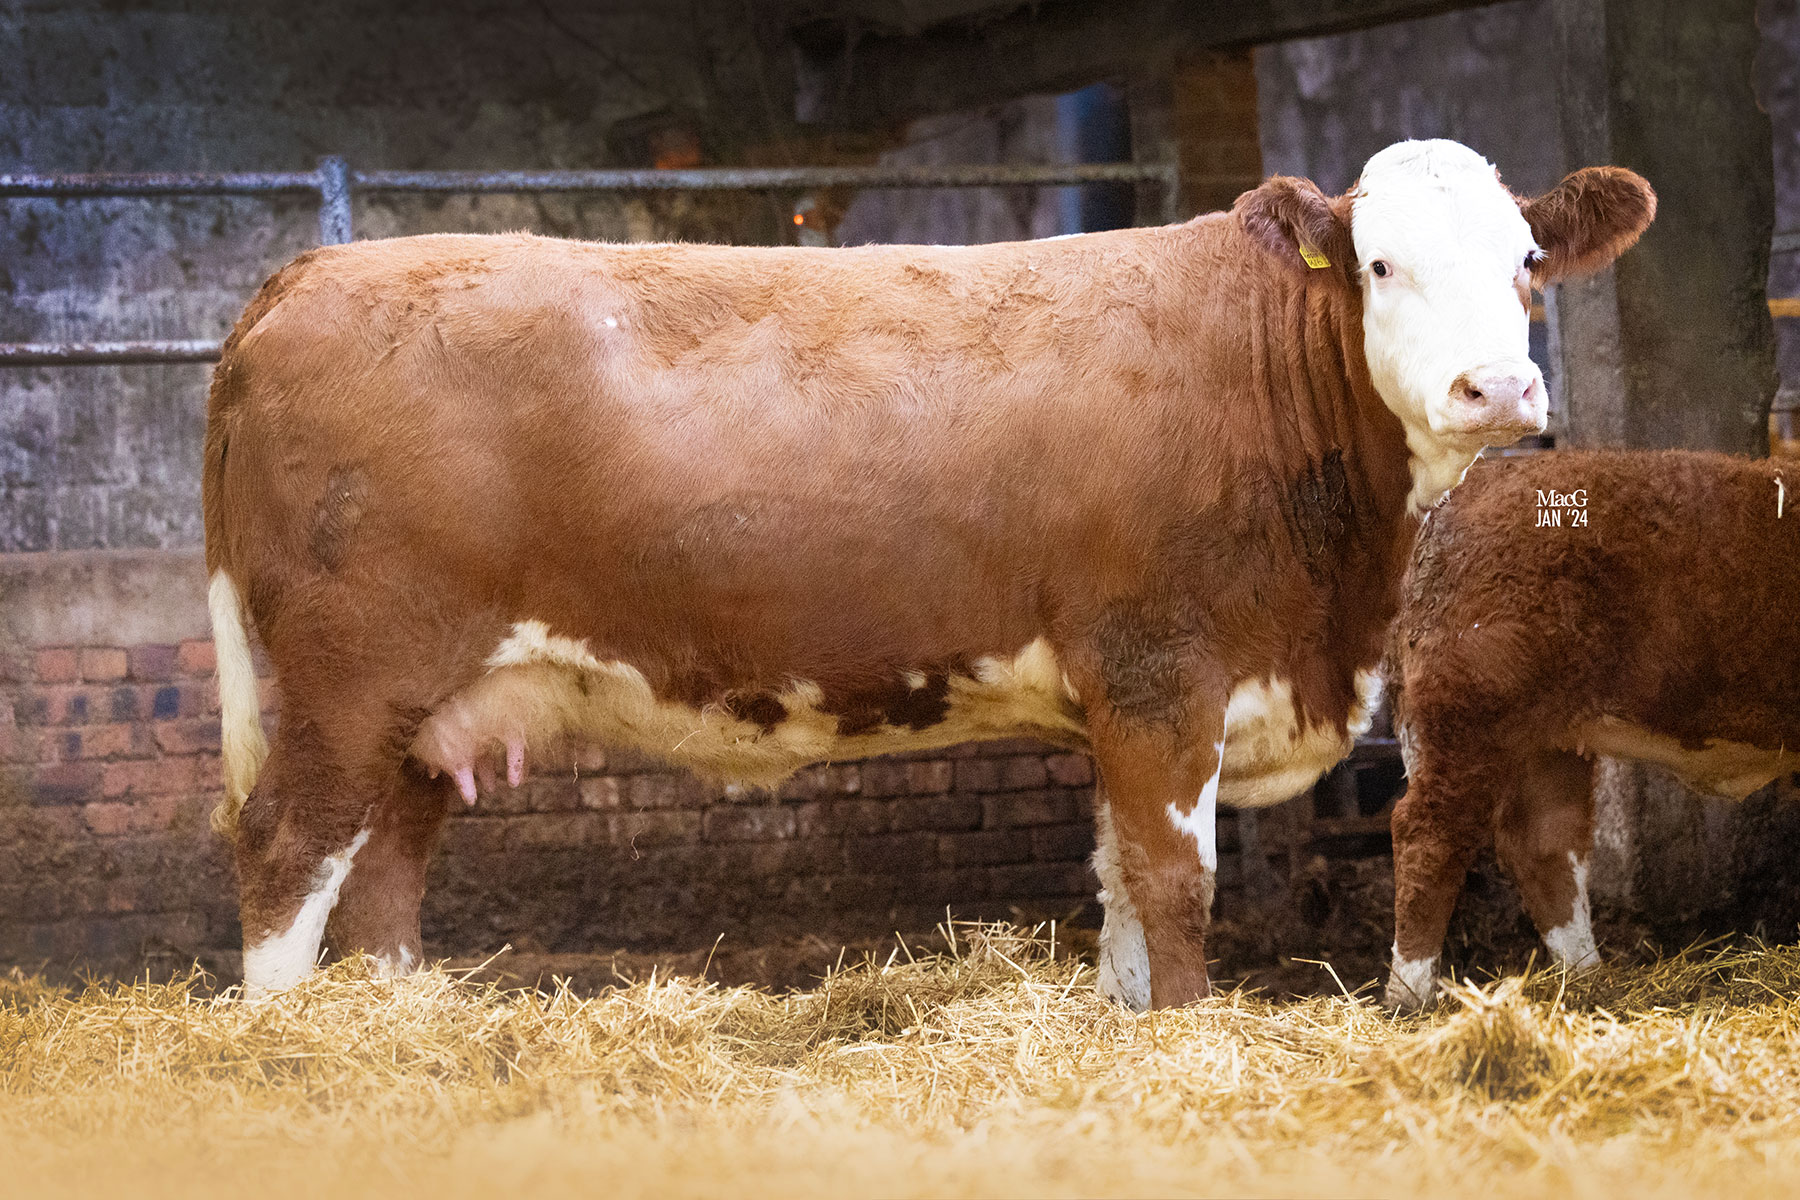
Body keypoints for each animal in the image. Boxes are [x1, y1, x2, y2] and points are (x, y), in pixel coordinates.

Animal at [203, 138, 1654, 1005]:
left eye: (1528, 261)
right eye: (1380, 262)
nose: (1496, 387)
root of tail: (310, 272)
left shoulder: (1117, 703)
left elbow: (1119, 894)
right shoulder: (1162, 675)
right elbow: (1176, 890)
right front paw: (1190, 1034)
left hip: (422, 707)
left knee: (383, 868)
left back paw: (398, 1019)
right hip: (350, 677)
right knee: (286, 851)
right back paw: (287, 1046)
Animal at [1385, 450, 1800, 1011]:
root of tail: (1465, 489)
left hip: (1547, 739)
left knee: (1545, 843)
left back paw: (1586, 979)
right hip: (1468, 720)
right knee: (1428, 838)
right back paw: (1409, 995)